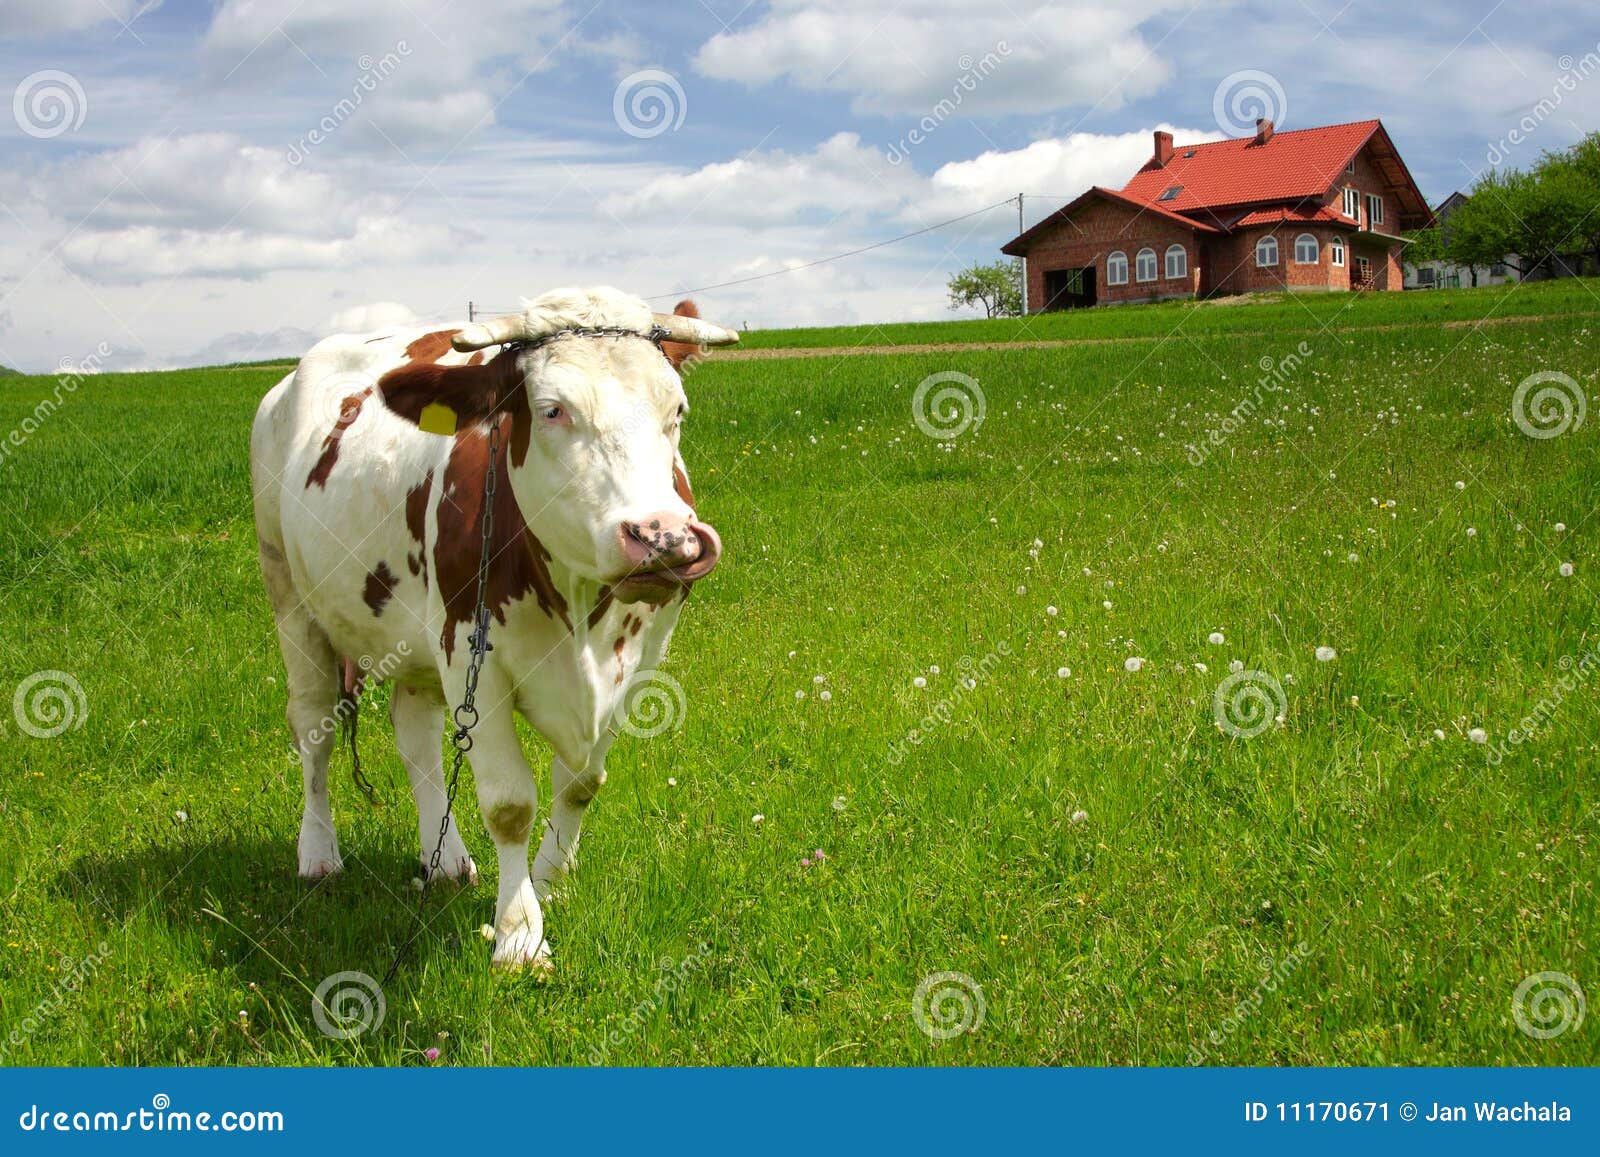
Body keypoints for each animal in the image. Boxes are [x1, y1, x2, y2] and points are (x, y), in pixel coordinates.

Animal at [250, 287, 738, 969]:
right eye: (553, 410)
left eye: (677, 409)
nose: (666, 539)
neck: (579, 609)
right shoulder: (471, 658)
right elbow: (510, 805)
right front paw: (519, 933)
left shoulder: (640, 662)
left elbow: (581, 784)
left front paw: (552, 882)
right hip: (290, 597)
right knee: (313, 725)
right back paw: (318, 852)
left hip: (414, 644)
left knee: (416, 734)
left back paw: (445, 860)